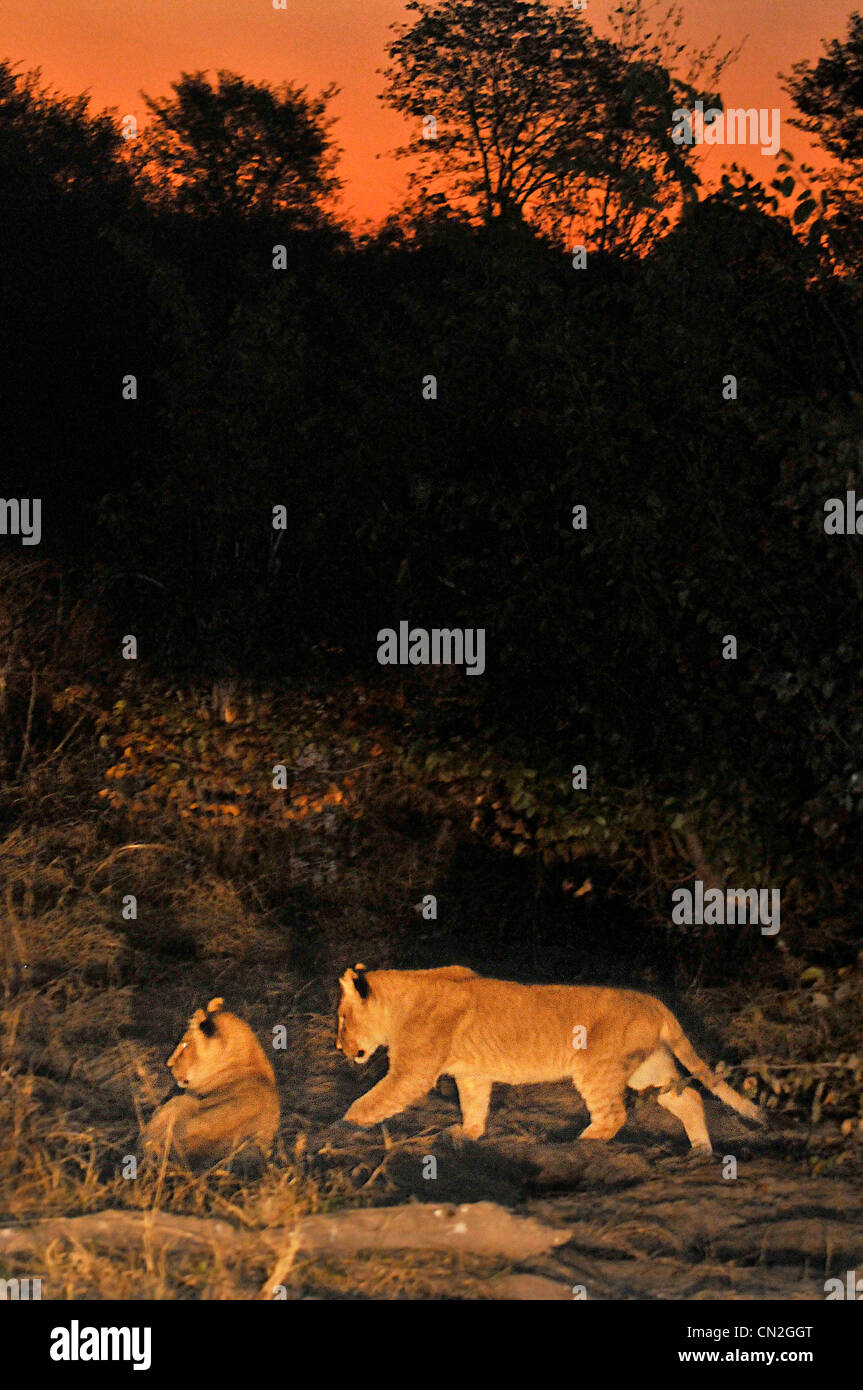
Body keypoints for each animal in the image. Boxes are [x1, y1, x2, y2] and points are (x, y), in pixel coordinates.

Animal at [336, 965, 763, 1153]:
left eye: (342, 1018)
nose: (340, 1048)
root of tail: (654, 1001)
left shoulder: (412, 1072)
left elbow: (371, 1100)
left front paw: (343, 1125)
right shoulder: (473, 1073)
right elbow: (473, 1104)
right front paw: (467, 1134)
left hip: (597, 1069)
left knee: (614, 1115)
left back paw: (577, 1144)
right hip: (648, 1068)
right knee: (688, 1097)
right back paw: (701, 1151)